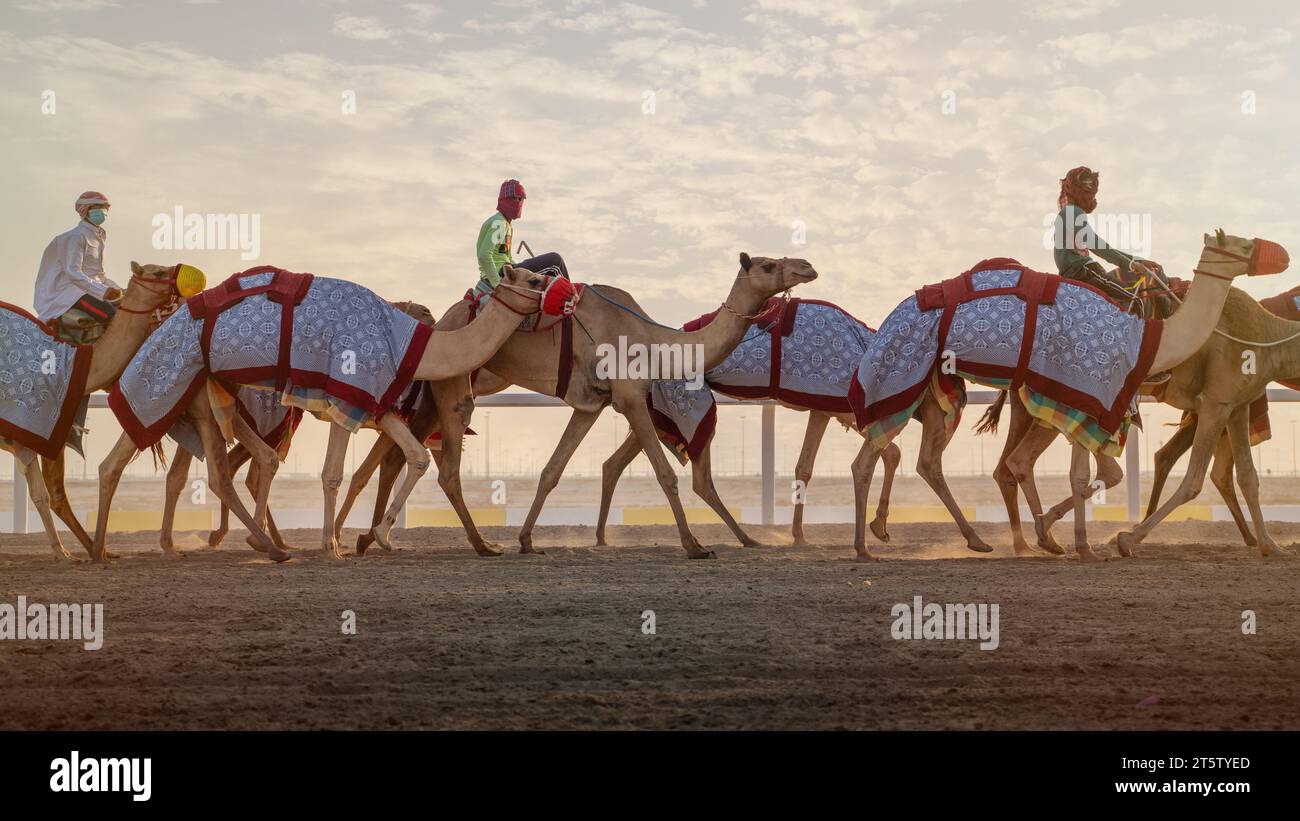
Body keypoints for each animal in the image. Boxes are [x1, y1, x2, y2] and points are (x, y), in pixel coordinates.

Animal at [1, 261, 183, 560]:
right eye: (156, 272)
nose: (182, 271)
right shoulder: (26, 430)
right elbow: (42, 494)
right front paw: (63, 553)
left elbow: (43, 493)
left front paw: (65, 552)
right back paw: (96, 549)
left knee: (59, 494)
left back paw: (97, 548)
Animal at [91, 265, 551, 562]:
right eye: (534, 279)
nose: (562, 297)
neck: (415, 348)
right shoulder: (349, 392)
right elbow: (337, 473)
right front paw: (336, 545)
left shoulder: (367, 400)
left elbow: (408, 459)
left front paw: (366, 537)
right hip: (171, 381)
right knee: (167, 462)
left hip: (205, 396)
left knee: (229, 465)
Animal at [333, 253, 818, 559]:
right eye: (769, 264)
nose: (807, 266)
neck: (653, 340)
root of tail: (438, 321)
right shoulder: (629, 397)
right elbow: (665, 474)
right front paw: (695, 546)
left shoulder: (590, 406)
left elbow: (552, 470)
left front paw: (527, 540)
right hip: (454, 389)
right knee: (445, 468)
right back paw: (469, 544)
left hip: (436, 392)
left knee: (397, 458)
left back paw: (367, 539)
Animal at [848, 231, 1289, 562]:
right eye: (1243, 244)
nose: (1282, 254)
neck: (1148, 338)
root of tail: (888, 322)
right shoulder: (1100, 393)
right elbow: (1092, 475)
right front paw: (1091, 543)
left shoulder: (1082, 403)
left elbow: (1088, 474)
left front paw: (1071, 540)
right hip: (903, 370)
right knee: (878, 457)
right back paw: (869, 546)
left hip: (936, 391)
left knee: (934, 461)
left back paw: (982, 539)